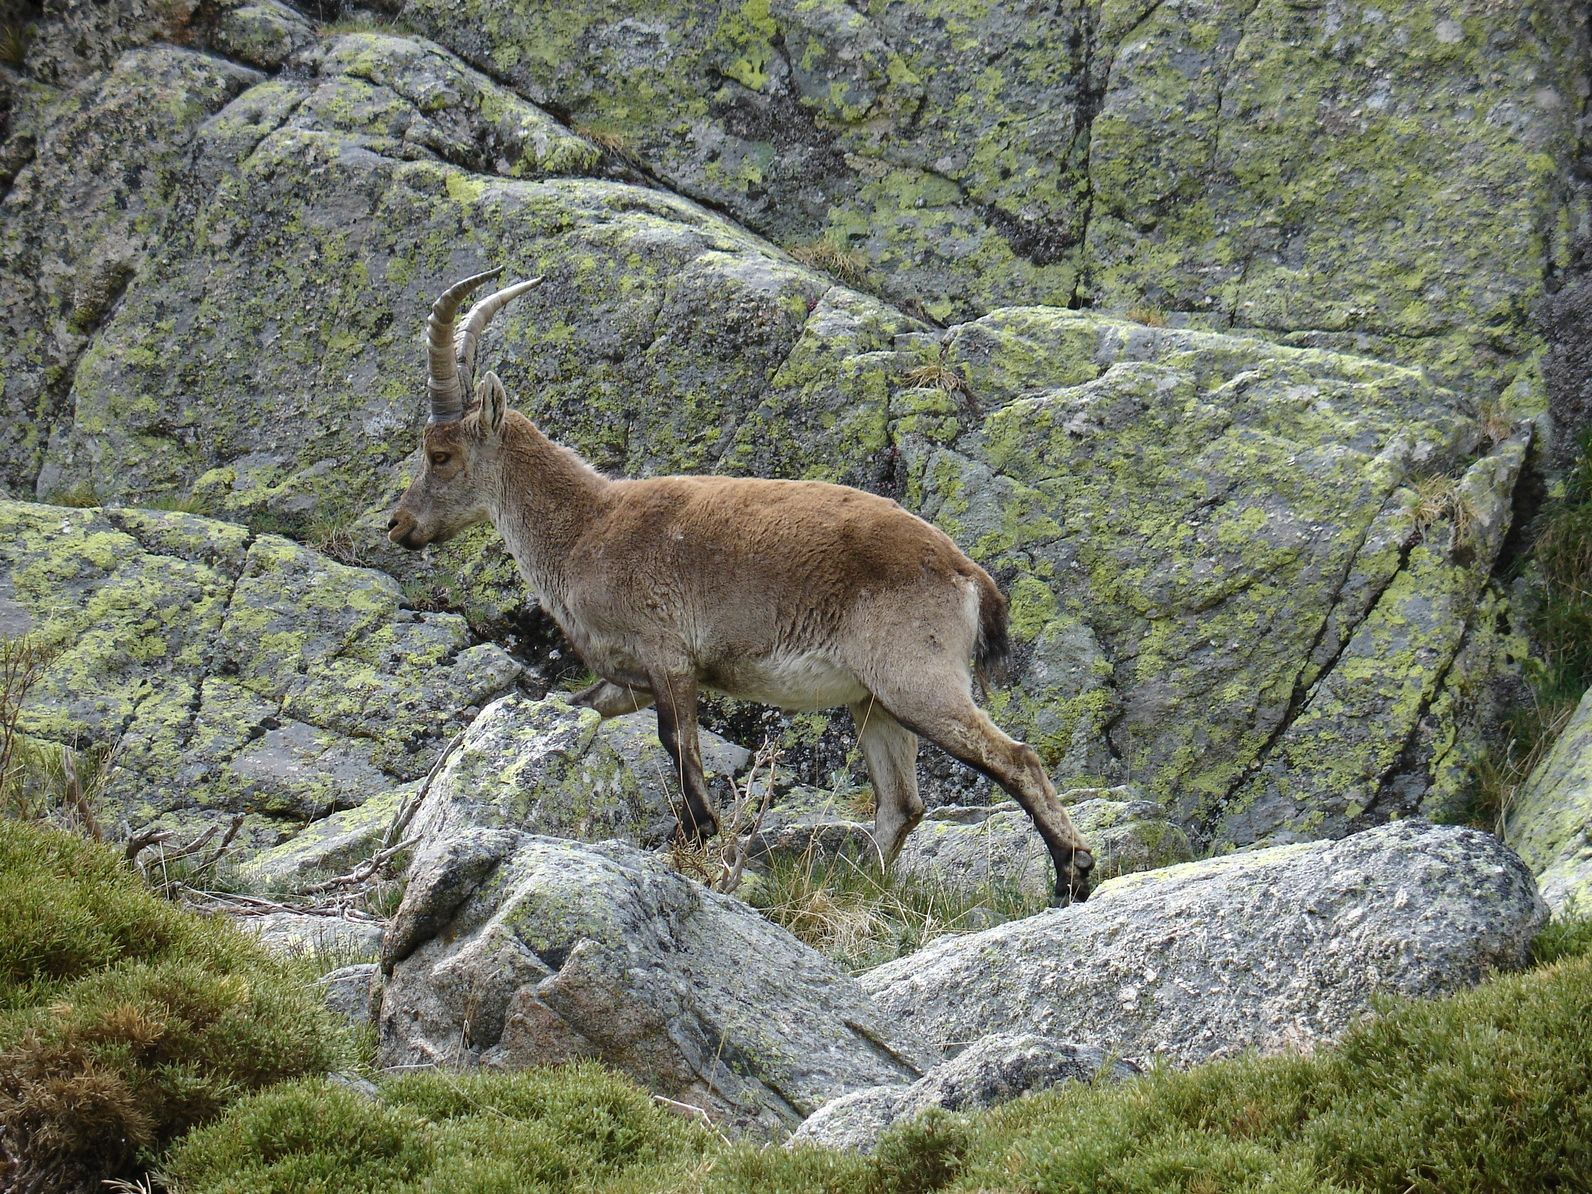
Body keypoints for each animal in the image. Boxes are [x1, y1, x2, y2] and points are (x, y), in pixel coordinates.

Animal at [387, 270, 1095, 903]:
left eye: (440, 455)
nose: (398, 525)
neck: (587, 527)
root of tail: (965, 570)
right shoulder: (627, 680)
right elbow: (583, 708)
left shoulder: (668, 657)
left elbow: (684, 760)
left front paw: (705, 848)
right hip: (872, 700)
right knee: (903, 803)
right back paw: (856, 887)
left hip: (915, 680)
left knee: (1015, 759)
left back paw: (1072, 873)